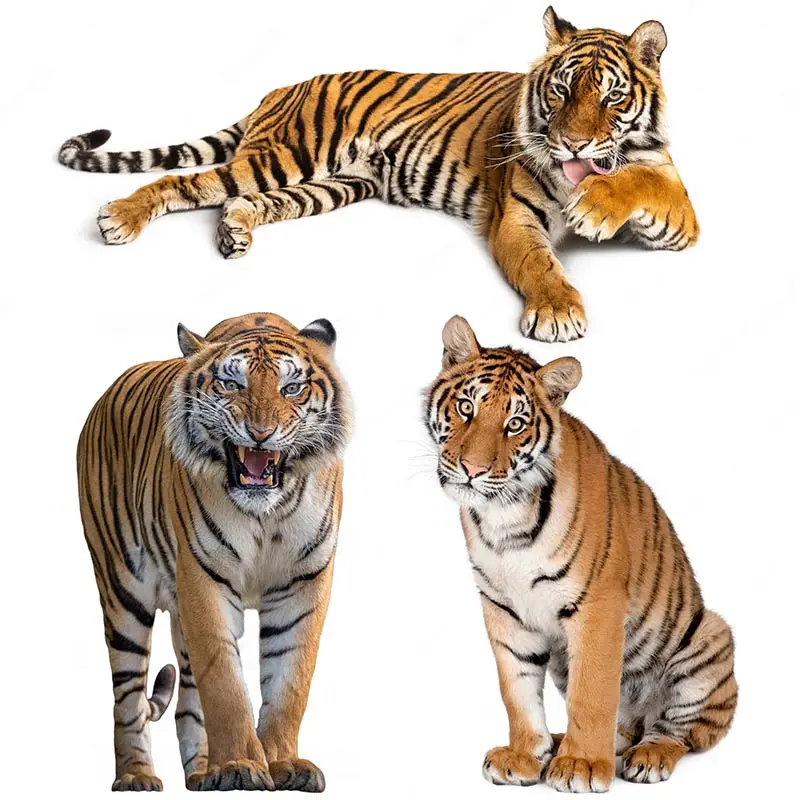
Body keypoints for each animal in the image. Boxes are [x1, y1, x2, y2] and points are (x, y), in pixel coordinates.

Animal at [57, 7, 698, 344]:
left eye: (612, 98)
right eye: (562, 91)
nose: (573, 143)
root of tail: (280, 88)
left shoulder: (678, 217)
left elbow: (648, 183)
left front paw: (597, 202)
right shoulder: (515, 220)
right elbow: (541, 265)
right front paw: (559, 310)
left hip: (334, 185)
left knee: (250, 202)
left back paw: (234, 232)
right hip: (286, 154)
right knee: (186, 185)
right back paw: (120, 217)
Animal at [77, 312, 351, 791]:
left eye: (291, 388)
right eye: (230, 384)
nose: (261, 434)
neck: (267, 514)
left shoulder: (303, 584)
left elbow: (289, 682)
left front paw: (283, 763)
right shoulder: (204, 579)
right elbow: (224, 684)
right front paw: (240, 765)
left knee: (187, 701)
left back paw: (202, 773)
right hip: (122, 592)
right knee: (127, 699)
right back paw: (137, 776)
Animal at [424, 316, 736, 791]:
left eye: (515, 424)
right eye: (465, 407)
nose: (472, 470)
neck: (505, 519)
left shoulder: (597, 604)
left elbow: (591, 694)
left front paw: (582, 766)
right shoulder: (503, 608)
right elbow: (516, 690)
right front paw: (524, 756)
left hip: (709, 638)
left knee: (680, 731)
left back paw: (647, 756)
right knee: (625, 726)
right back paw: (562, 742)